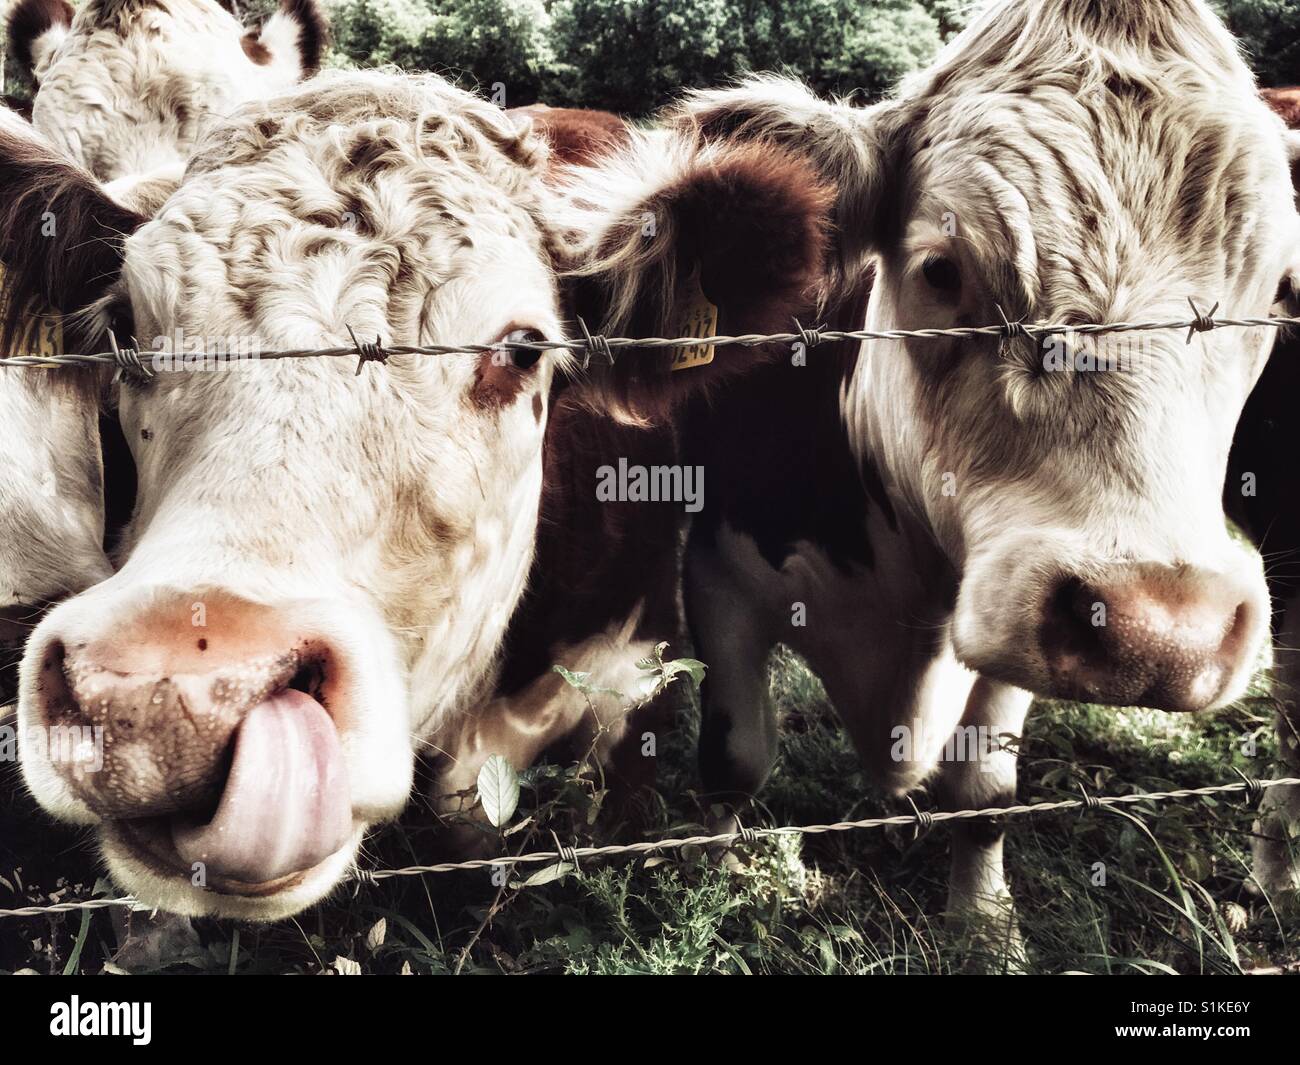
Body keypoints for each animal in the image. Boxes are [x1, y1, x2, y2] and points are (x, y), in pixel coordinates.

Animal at [659, 0, 1300, 949]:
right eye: (941, 268)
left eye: (1278, 291)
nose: (1161, 633)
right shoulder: (718, 568)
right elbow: (734, 758)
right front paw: (714, 882)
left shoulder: (1015, 608)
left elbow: (985, 793)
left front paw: (983, 921)